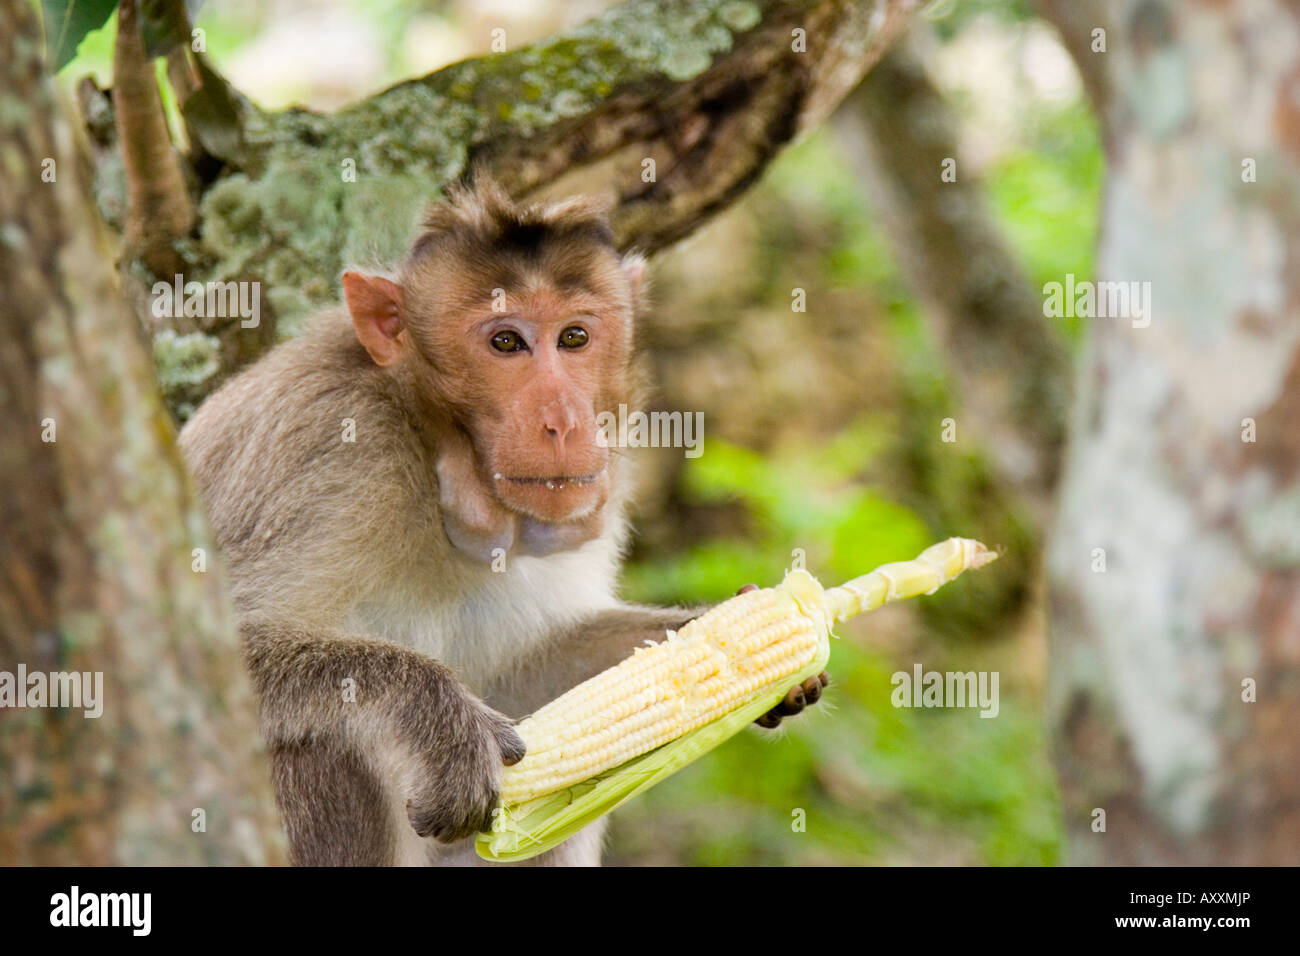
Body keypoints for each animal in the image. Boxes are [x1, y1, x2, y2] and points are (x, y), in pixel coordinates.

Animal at [178, 176, 828, 866]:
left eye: (574, 338)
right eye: (505, 343)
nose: (564, 422)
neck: (432, 457)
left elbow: (531, 679)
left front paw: (724, 631)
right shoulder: (328, 452)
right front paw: (439, 717)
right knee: (325, 745)